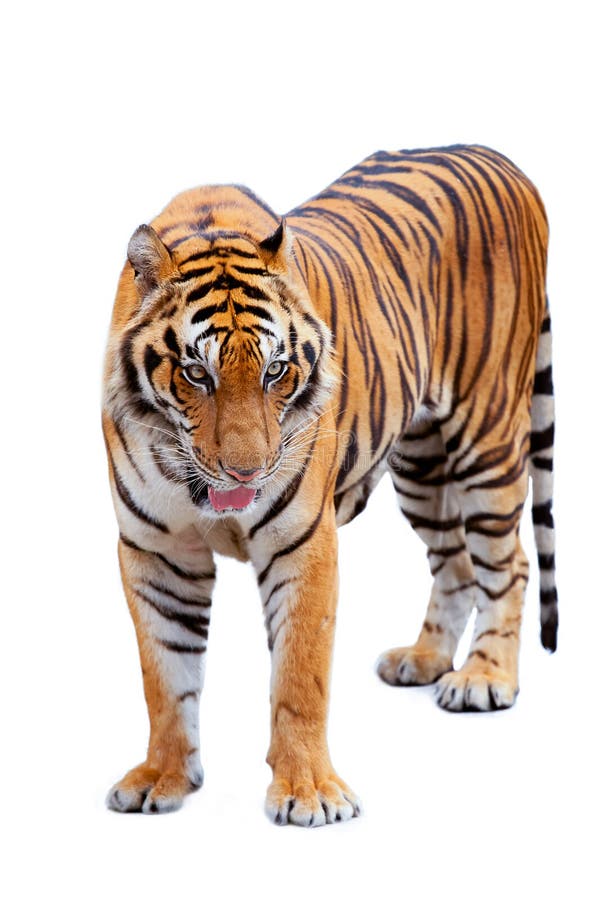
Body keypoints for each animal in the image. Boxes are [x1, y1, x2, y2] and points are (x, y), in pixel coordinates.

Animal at [102, 144, 557, 826]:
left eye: (276, 370)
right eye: (196, 373)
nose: (246, 473)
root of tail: (501, 158)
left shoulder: (302, 540)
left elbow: (300, 675)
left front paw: (309, 792)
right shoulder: (157, 551)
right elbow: (165, 676)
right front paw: (163, 777)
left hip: (489, 435)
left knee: (511, 563)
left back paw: (485, 678)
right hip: (420, 463)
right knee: (454, 561)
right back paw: (424, 660)